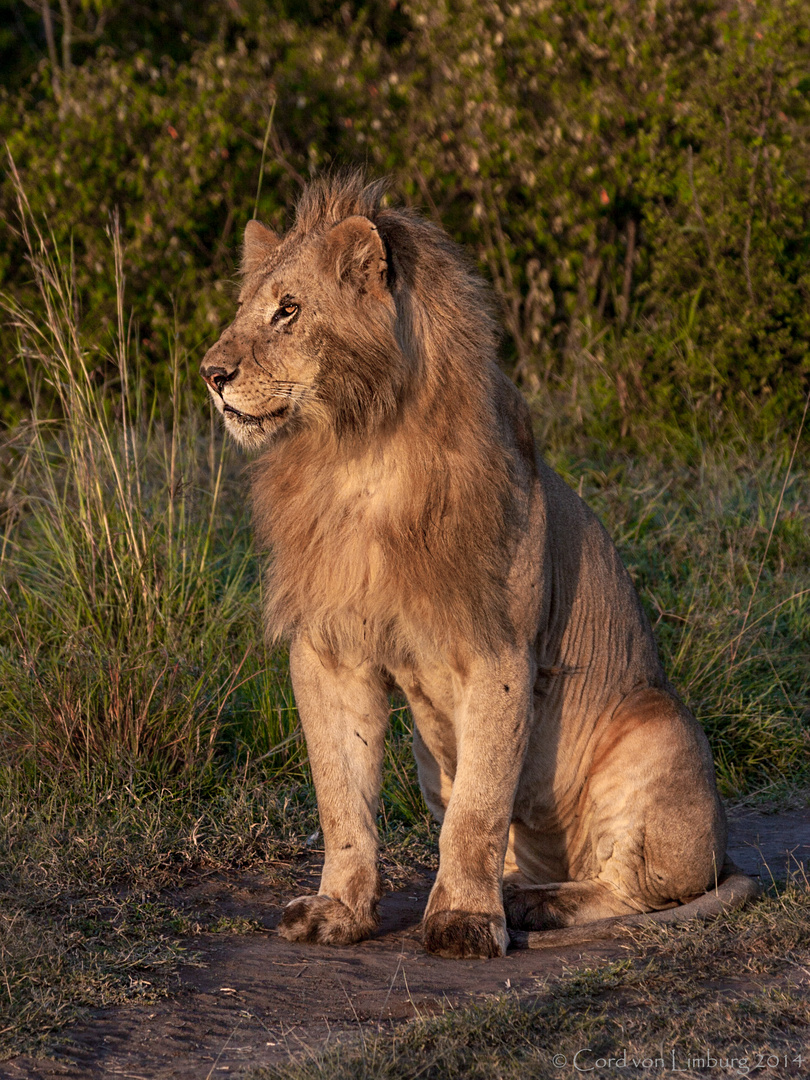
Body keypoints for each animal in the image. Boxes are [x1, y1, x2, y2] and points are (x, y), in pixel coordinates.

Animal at [203, 172, 760, 959]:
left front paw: (464, 923)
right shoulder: (330, 650)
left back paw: (536, 905)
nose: (211, 374)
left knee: (636, 890)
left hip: (657, 725)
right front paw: (338, 910)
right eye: (246, 309)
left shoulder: (498, 650)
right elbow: (343, 801)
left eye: (290, 310)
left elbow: (478, 809)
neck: (357, 453)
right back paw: (519, 893)